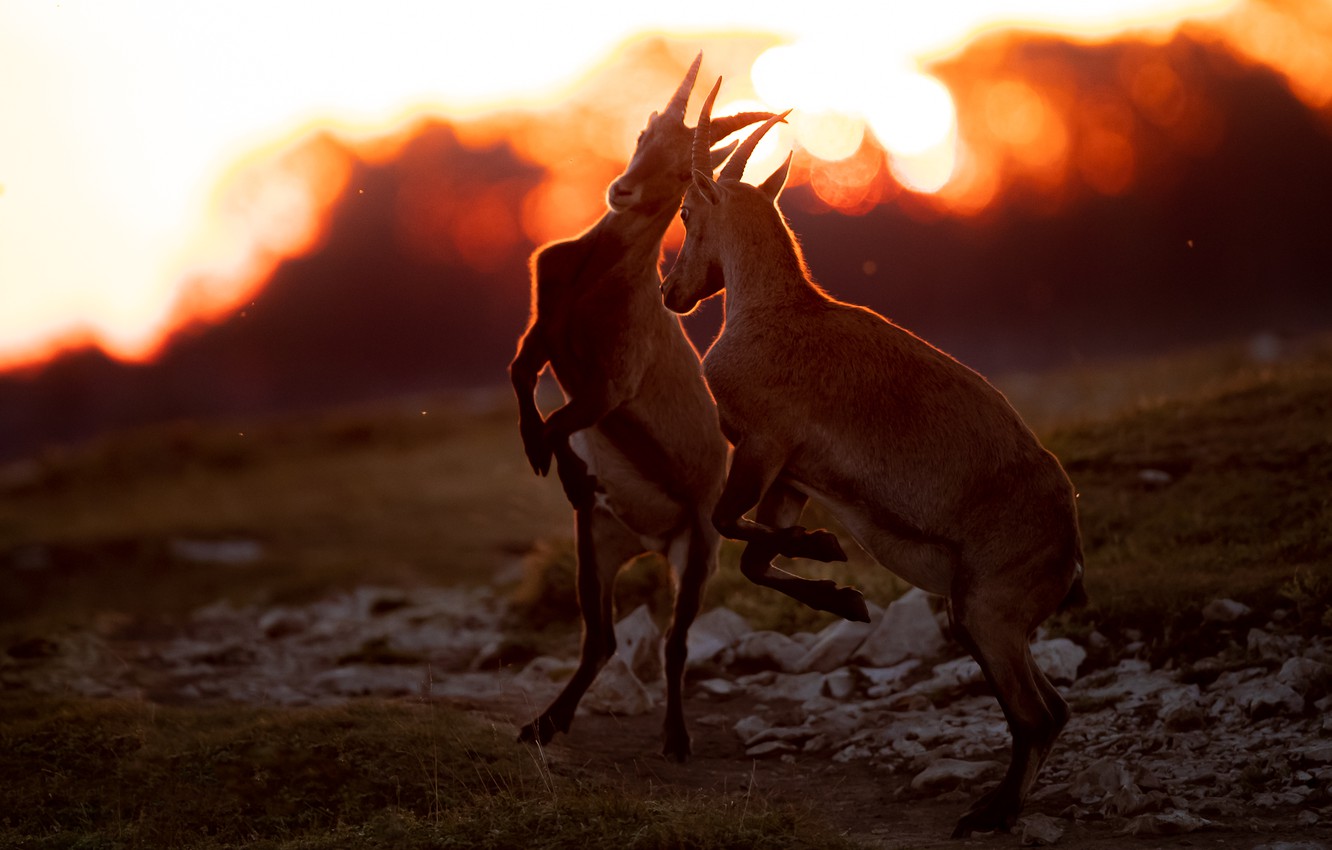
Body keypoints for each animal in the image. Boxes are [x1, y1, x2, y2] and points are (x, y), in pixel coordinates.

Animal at [509, 54, 772, 761]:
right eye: (644, 134)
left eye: (685, 171)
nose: (622, 191)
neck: (595, 280)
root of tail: (648, 542)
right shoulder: (543, 335)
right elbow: (522, 381)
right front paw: (560, 468)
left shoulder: (614, 383)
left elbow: (564, 419)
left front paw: (564, 469)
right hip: (597, 545)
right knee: (600, 639)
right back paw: (542, 724)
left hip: (697, 548)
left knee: (675, 643)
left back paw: (676, 739)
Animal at [660, 80, 1087, 834]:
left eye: (685, 209)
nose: (670, 292)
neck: (774, 312)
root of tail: (1069, 542)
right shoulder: (790, 476)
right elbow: (755, 556)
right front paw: (846, 597)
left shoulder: (764, 449)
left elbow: (731, 525)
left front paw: (830, 553)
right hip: (988, 617)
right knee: (1052, 711)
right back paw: (994, 808)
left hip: (989, 612)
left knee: (1036, 716)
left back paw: (987, 816)